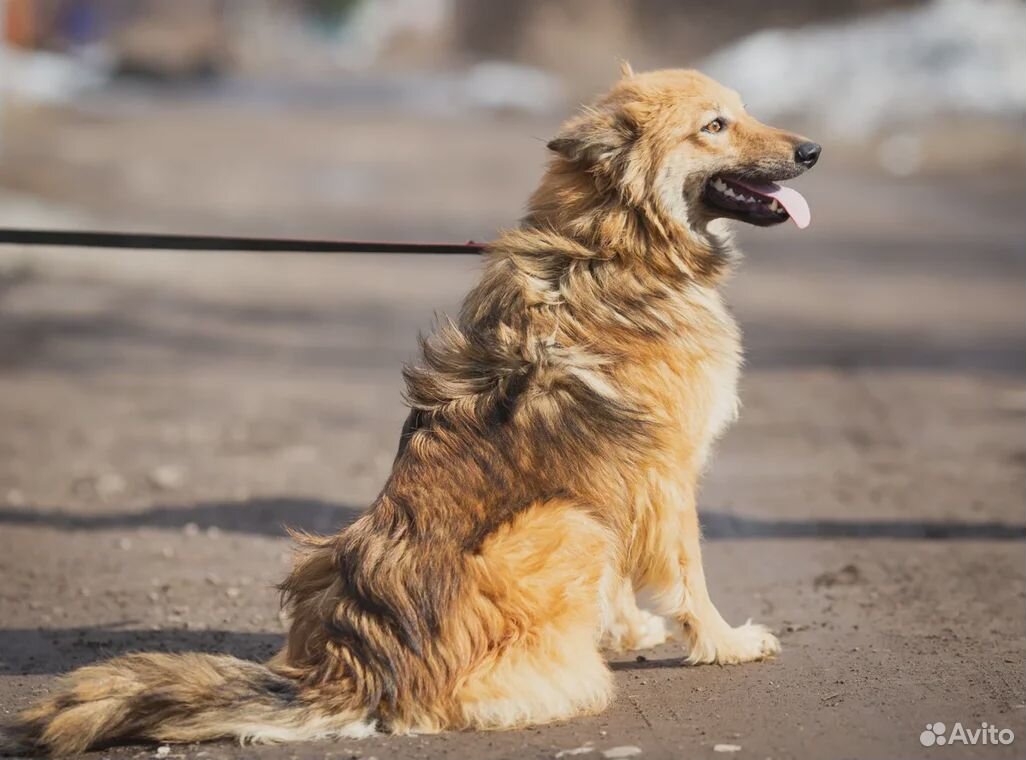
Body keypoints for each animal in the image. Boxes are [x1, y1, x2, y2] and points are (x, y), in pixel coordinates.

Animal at [3, 65, 819, 755]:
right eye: (715, 125)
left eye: (741, 112)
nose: (812, 151)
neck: (610, 246)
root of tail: (353, 671)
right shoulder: (664, 473)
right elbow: (689, 575)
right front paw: (724, 644)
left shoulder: (622, 475)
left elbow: (630, 578)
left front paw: (625, 627)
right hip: (561, 522)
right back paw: (567, 684)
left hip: (335, 556)